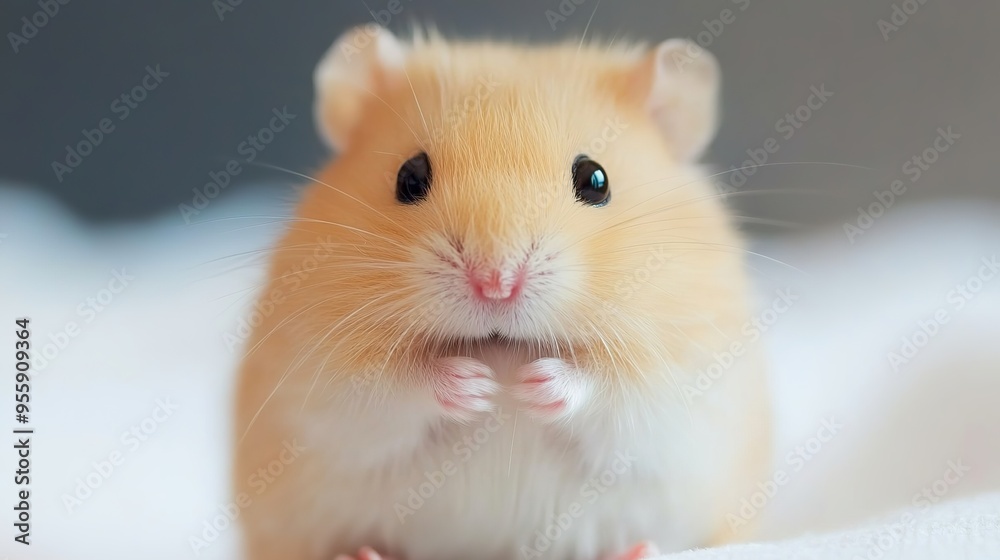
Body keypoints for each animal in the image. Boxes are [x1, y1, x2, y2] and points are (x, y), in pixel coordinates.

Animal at [233, 25, 770, 560]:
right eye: (409, 177)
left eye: (596, 179)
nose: (496, 283)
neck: (501, 348)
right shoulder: (321, 380)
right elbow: (391, 391)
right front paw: (479, 386)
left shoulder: (680, 377)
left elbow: (610, 392)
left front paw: (531, 383)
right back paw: (362, 554)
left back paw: (635, 551)